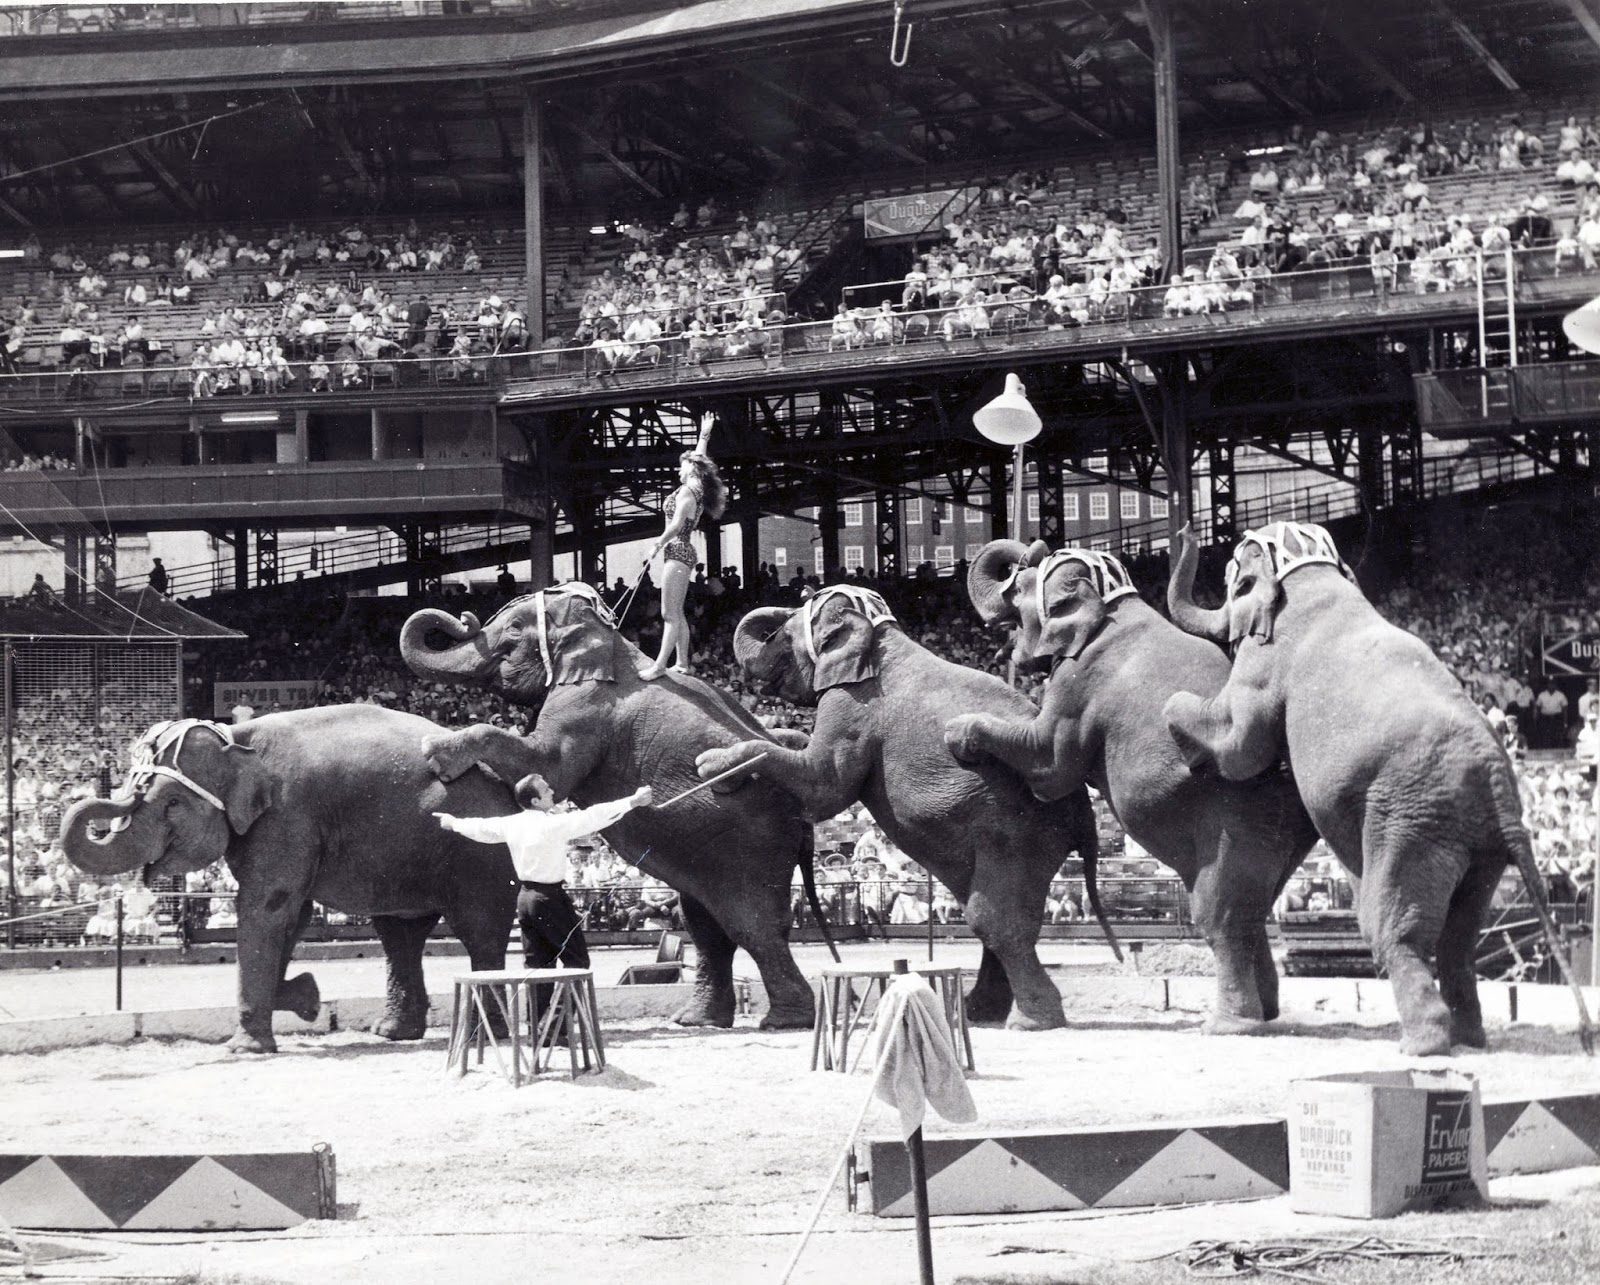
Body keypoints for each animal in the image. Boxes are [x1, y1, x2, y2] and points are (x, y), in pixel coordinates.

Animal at [59, 705, 520, 1054]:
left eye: (171, 802)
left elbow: (266, 908)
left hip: (481, 854)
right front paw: (308, 997)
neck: (235, 738)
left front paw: (246, 1047)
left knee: (479, 933)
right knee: (400, 934)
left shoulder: (286, 816)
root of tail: (510, 788)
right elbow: (289, 915)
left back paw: (483, 1035)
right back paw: (392, 1033)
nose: (115, 785)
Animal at [399, 582, 829, 1031]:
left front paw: (436, 753)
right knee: (705, 925)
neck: (605, 636)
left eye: (514, 628)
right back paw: (696, 1020)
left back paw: (784, 1021)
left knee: (753, 926)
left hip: (754, 843)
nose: (463, 616)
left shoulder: (587, 707)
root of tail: (804, 817)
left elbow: (548, 767)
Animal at [690, 584, 1107, 1030]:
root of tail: (1085, 816)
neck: (881, 636)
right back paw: (980, 1013)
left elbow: (824, 789)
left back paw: (1028, 1021)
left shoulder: (852, 705)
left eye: (786, 634)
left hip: (1017, 831)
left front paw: (711, 766)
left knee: (995, 919)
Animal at [944, 540, 1321, 1034]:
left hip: (1238, 818)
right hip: (1287, 832)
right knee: (1257, 905)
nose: (1029, 553)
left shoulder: (1076, 683)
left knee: (1219, 912)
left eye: (1022, 587)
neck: (1115, 603)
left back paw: (1228, 1025)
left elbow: (1051, 766)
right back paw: (1268, 1010)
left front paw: (956, 733)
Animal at [1164, 519, 1594, 1056]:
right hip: (1480, 852)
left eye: (1235, 584)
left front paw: (1174, 712)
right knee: (1459, 936)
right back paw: (1468, 1040)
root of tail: (1499, 792)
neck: (1314, 576)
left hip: (1410, 826)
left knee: (1394, 927)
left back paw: (1419, 1047)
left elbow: (1241, 747)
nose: (1185, 529)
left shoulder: (1265, 662)